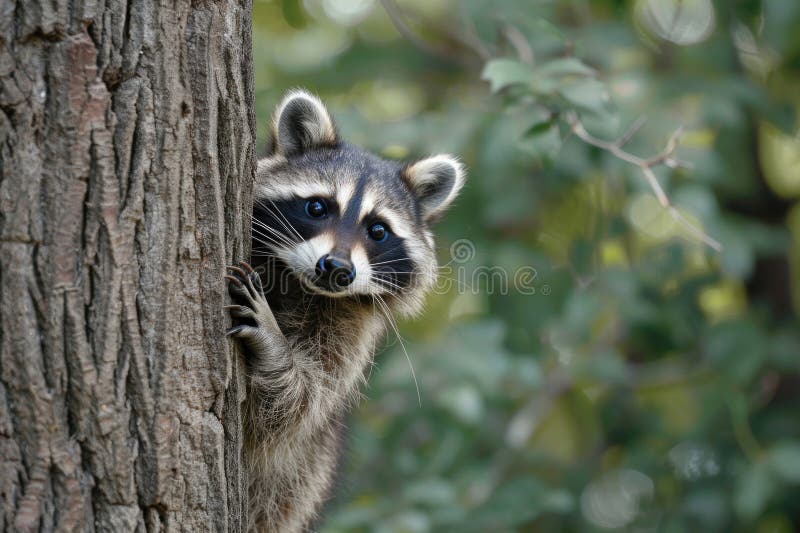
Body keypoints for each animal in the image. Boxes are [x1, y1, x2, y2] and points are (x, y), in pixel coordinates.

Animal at [225, 90, 465, 532]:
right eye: (317, 207)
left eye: (378, 230)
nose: (336, 268)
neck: (299, 285)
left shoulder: (350, 332)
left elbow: (291, 409)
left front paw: (273, 347)